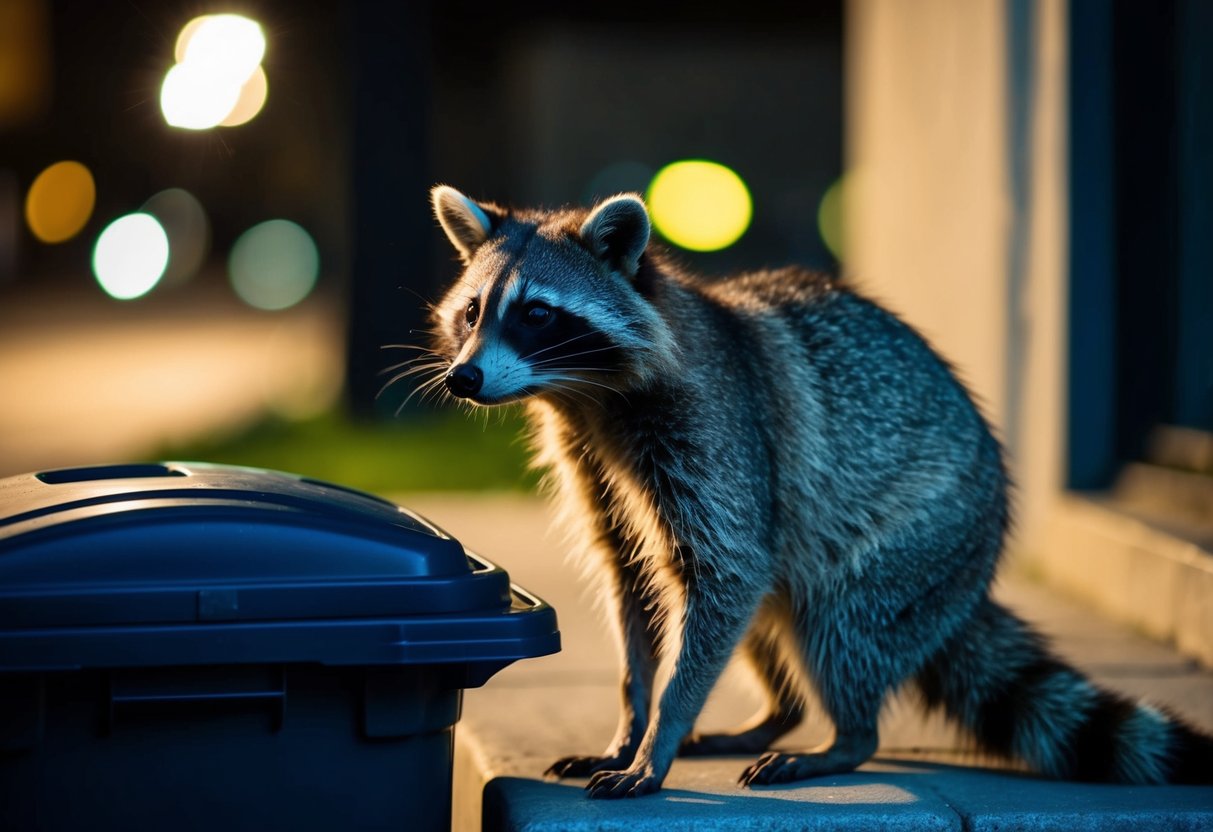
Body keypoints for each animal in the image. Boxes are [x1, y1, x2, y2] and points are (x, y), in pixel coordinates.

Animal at [415, 184, 1213, 798]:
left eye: (537, 313)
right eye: (473, 311)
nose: (463, 377)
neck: (587, 397)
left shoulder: (719, 437)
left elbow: (725, 572)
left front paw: (661, 731)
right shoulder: (595, 466)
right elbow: (634, 584)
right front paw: (631, 719)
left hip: (921, 535)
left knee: (837, 620)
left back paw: (844, 737)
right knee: (772, 617)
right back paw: (779, 713)